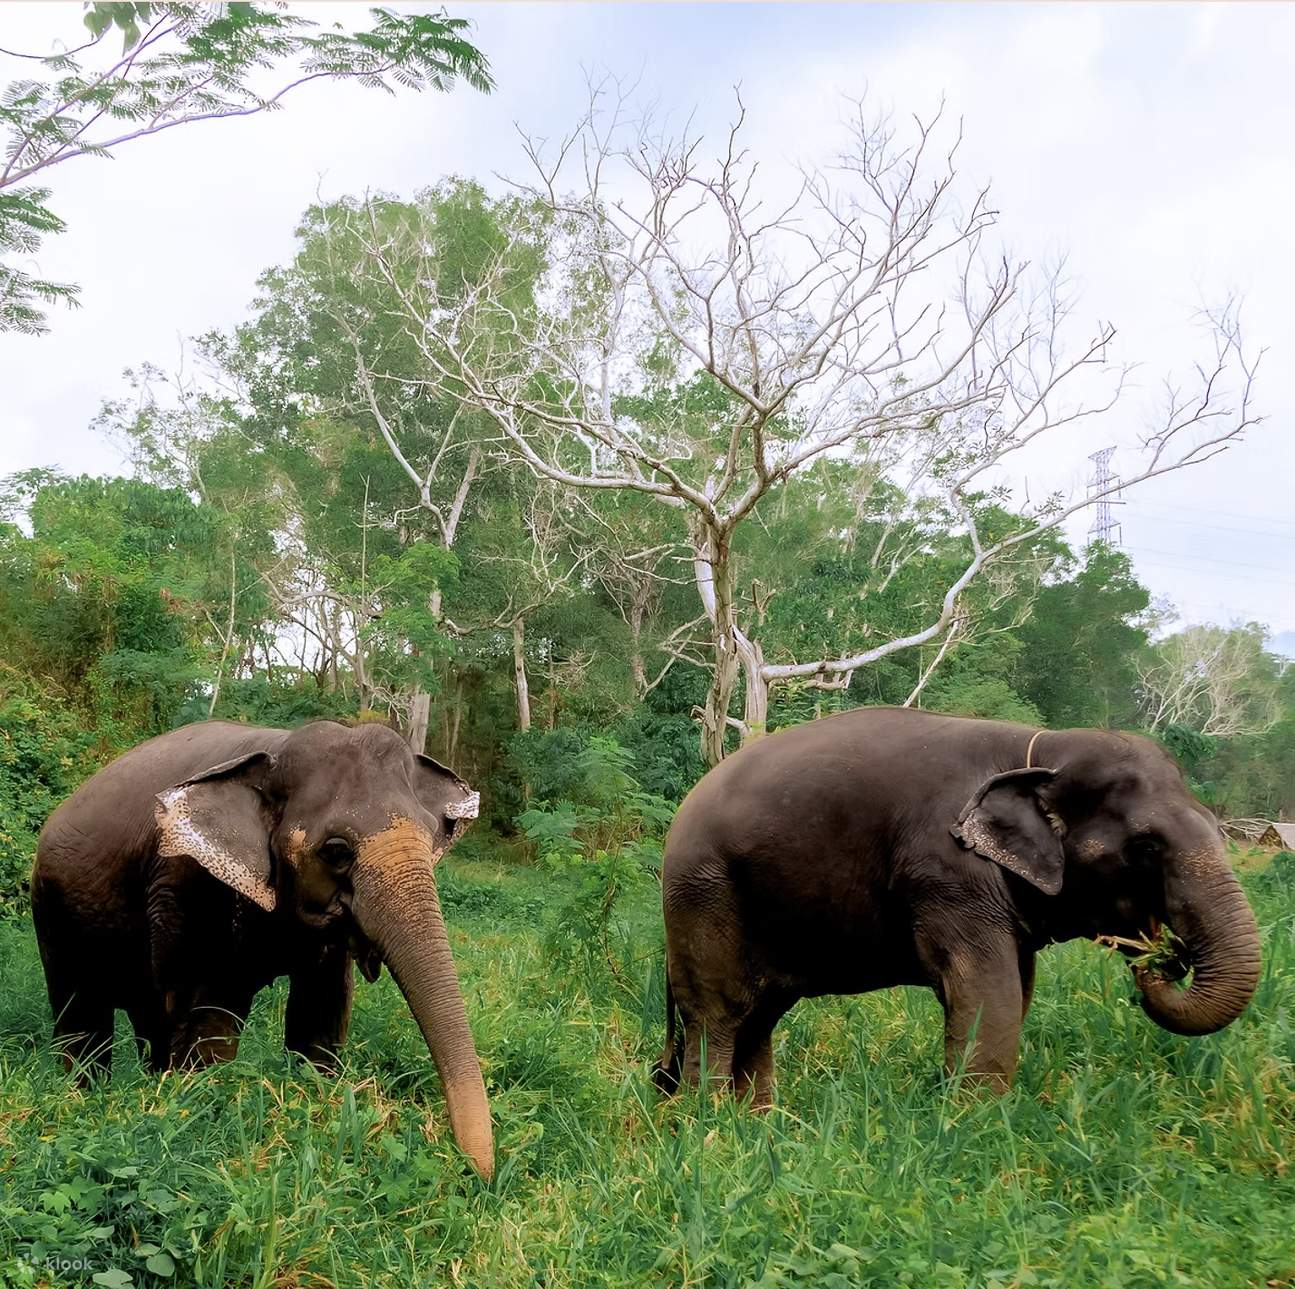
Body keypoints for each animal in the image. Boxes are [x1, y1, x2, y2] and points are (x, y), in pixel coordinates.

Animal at [31, 718, 493, 1178]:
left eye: (431, 835)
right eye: (336, 851)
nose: (476, 1173)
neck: (277, 746)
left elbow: (320, 1012)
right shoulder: (190, 881)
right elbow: (211, 1019)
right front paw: (204, 1111)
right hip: (52, 913)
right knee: (82, 1020)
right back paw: (84, 1096)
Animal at [655, 707, 1261, 1105]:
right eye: (1145, 847)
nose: (1163, 957)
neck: (1041, 748)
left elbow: (1017, 988)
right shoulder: (947, 871)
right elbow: (986, 989)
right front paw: (976, 1124)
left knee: (761, 1015)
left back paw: (758, 1122)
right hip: (703, 891)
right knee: (721, 1012)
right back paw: (708, 1123)